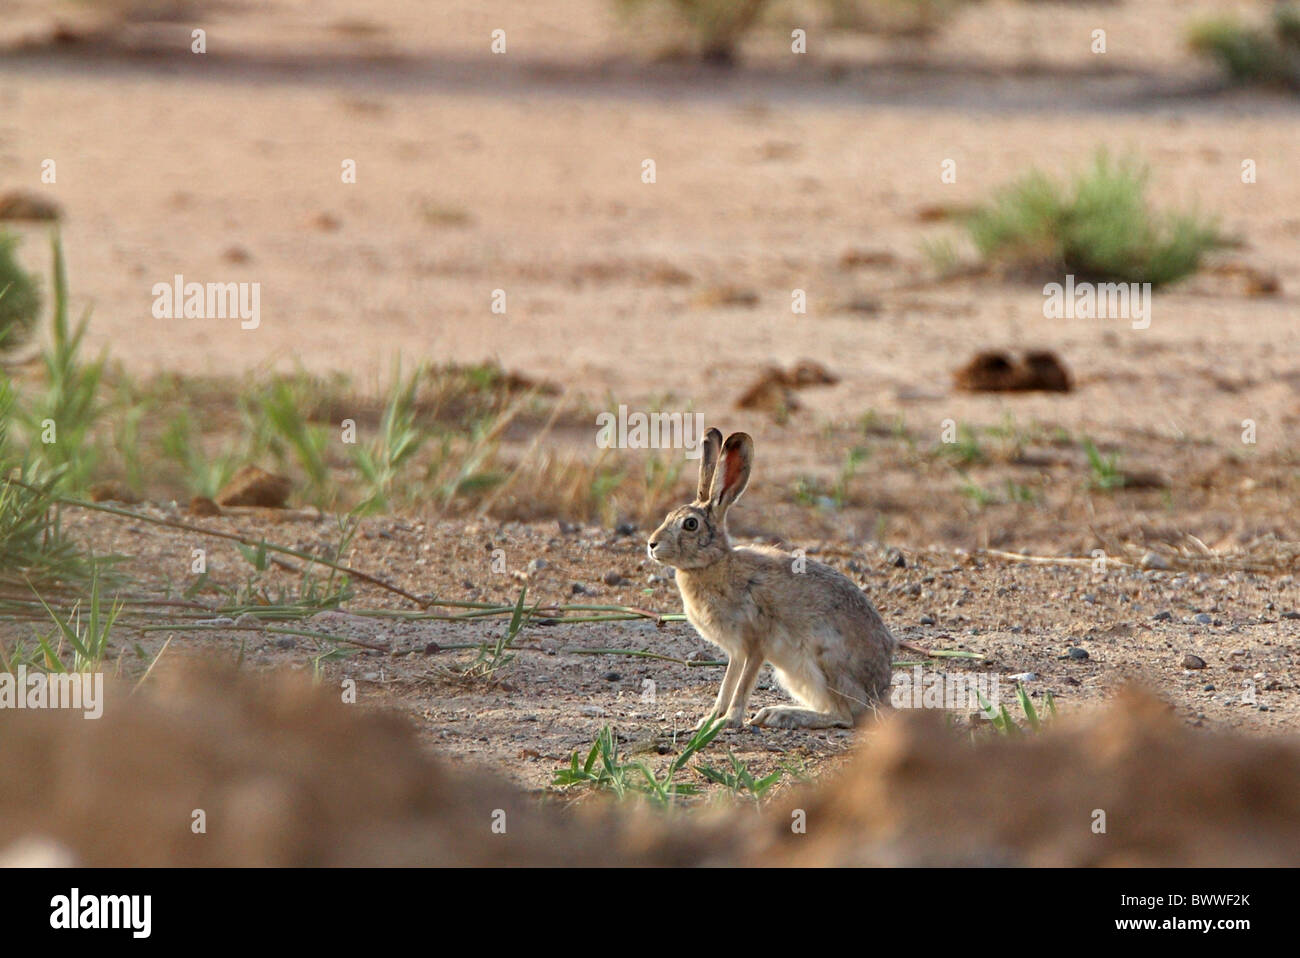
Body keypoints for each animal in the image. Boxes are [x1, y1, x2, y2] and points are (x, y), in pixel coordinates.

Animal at [647, 428, 896, 730]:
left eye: (690, 524)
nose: (651, 544)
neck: (715, 564)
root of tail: (880, 693)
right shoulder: (736, 652)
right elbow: (728, 683)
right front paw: (710, 718)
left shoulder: (756, 642)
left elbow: (742, 685)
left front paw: (728, 721)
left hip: (824, 664)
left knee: (845, 716)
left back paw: (782, 714)